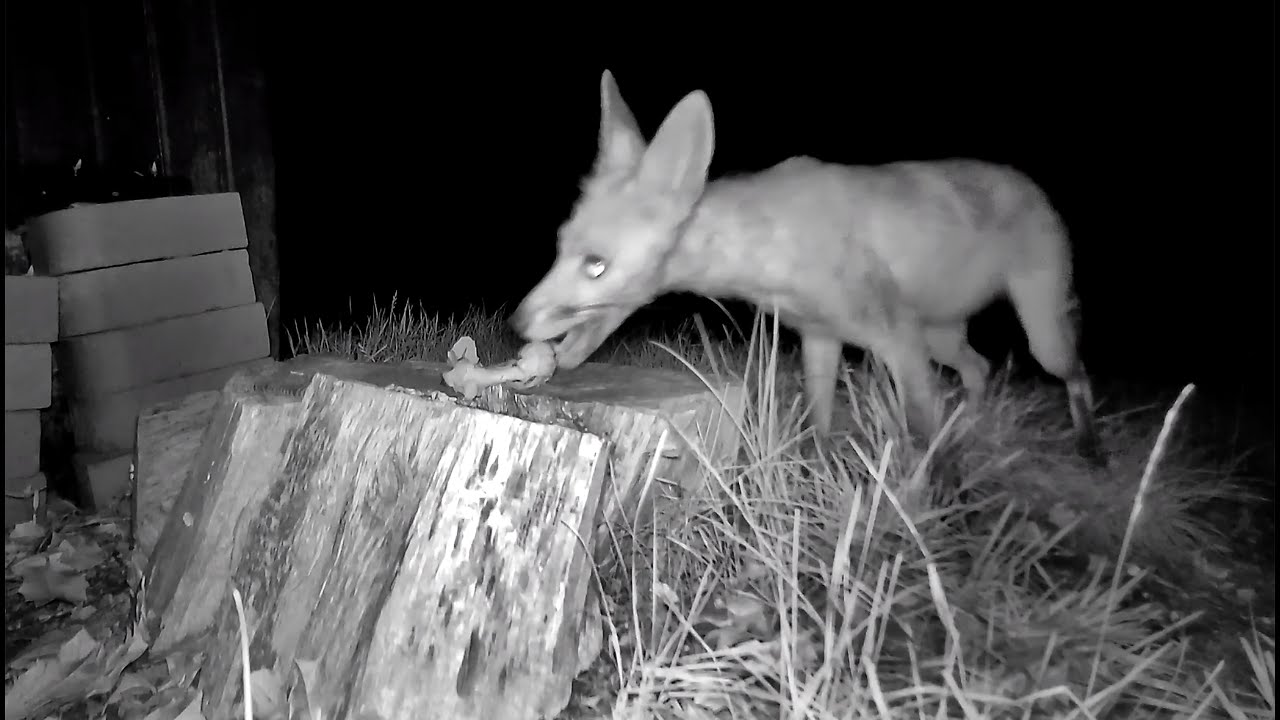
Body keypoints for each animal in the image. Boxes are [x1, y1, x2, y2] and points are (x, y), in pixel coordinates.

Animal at [510, 69, 1106, 467]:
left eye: (596, 266)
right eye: (559, 248)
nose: (515, 324)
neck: (774, 254)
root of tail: (1030, 184)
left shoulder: (896, 339)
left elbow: (921, 430)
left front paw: (933, 500)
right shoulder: (821, 338)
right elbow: (819, 424)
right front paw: (818, 472)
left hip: (1038, 332)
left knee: (1075, 373)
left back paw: (1088, 447)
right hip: (941, 335)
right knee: (979, 369)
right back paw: (977, 427)